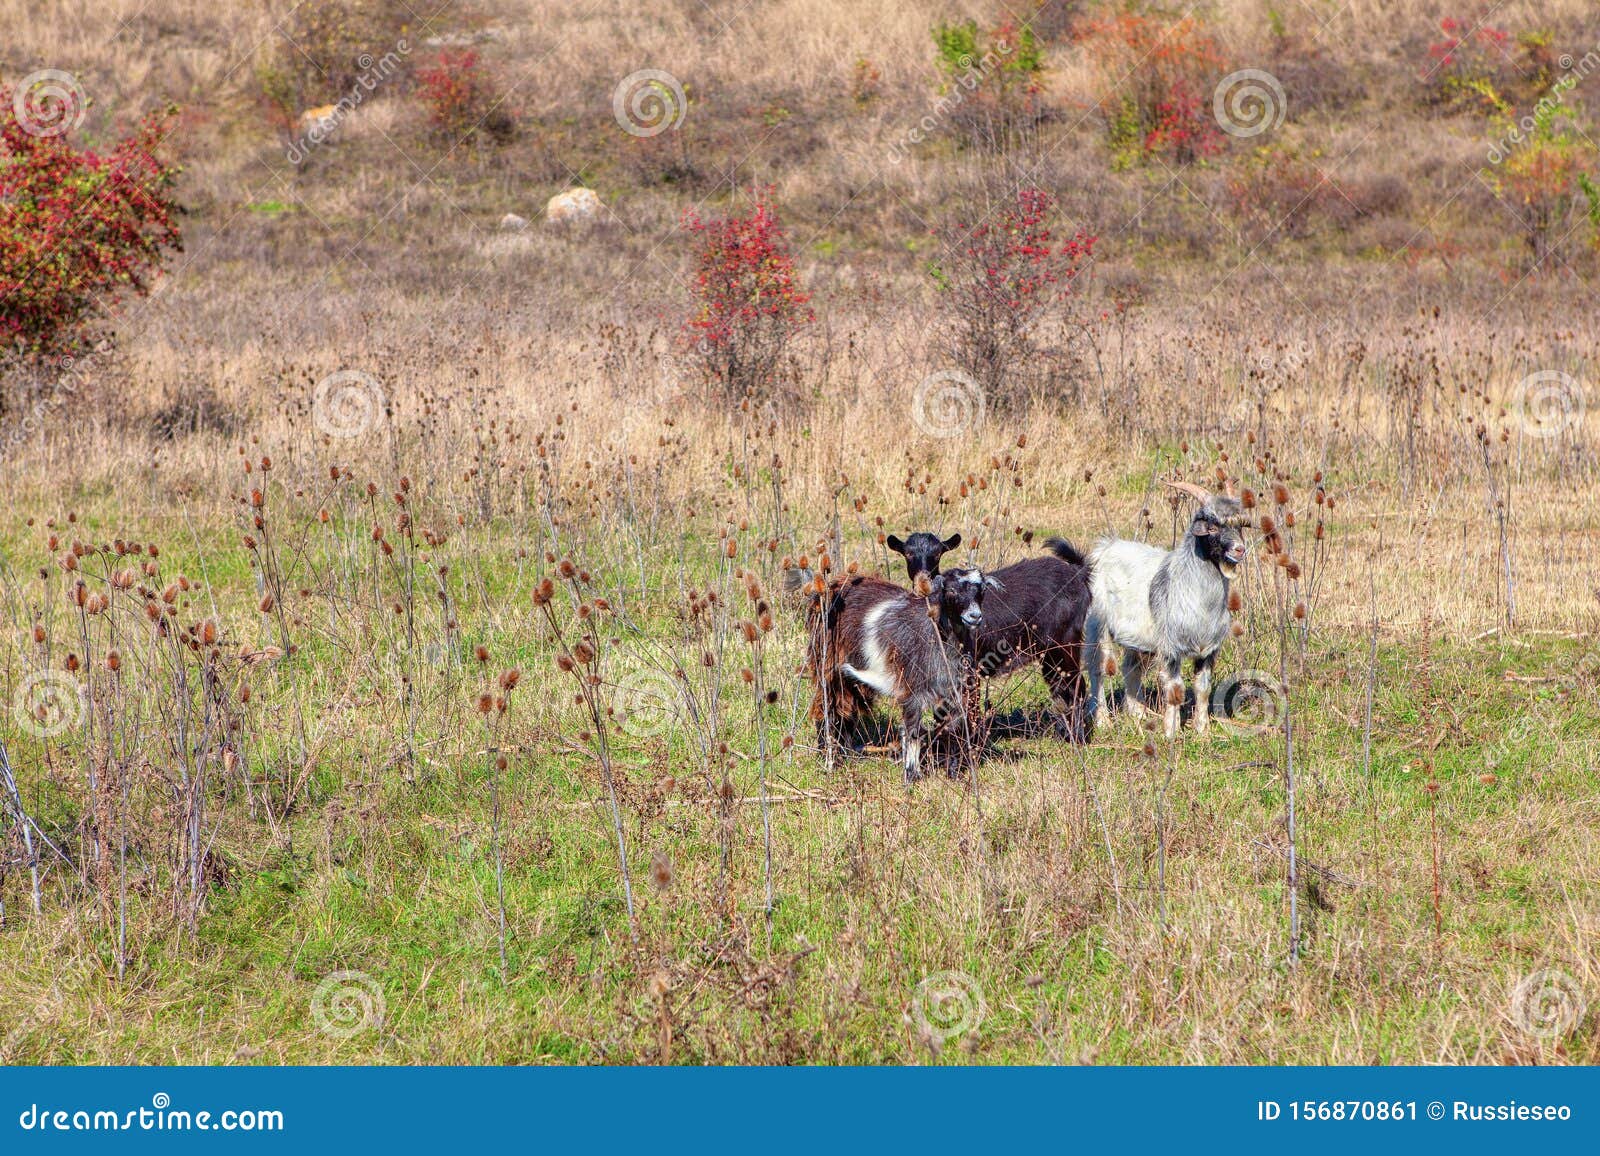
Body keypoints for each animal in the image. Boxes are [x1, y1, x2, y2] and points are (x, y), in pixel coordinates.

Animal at [790, 565, 995, 780]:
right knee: (827, 706)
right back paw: (829, 758)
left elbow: (955, 728)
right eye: (951, 591)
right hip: (827, 664)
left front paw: (953, 773)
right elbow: (913, 731)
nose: (974, 616)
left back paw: (844, 753)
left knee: (845, 709)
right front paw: (912, 775)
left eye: (982, 590)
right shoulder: (912, 690)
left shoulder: (957, 690)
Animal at [1084, 481, 1253, 738]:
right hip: (1097, 627)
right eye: (1212, 525)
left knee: (1130, 668)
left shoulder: (1208, 650)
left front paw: (1202, 732)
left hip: (1139, 639)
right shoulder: (1171, 648)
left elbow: (1202, 687)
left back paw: (1138, 715)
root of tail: (1106, 548)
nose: (1240, 550)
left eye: (1240, 525)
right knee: (1098, 668)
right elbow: (1175, 687)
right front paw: (1170, 732)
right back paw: (1103, 721)